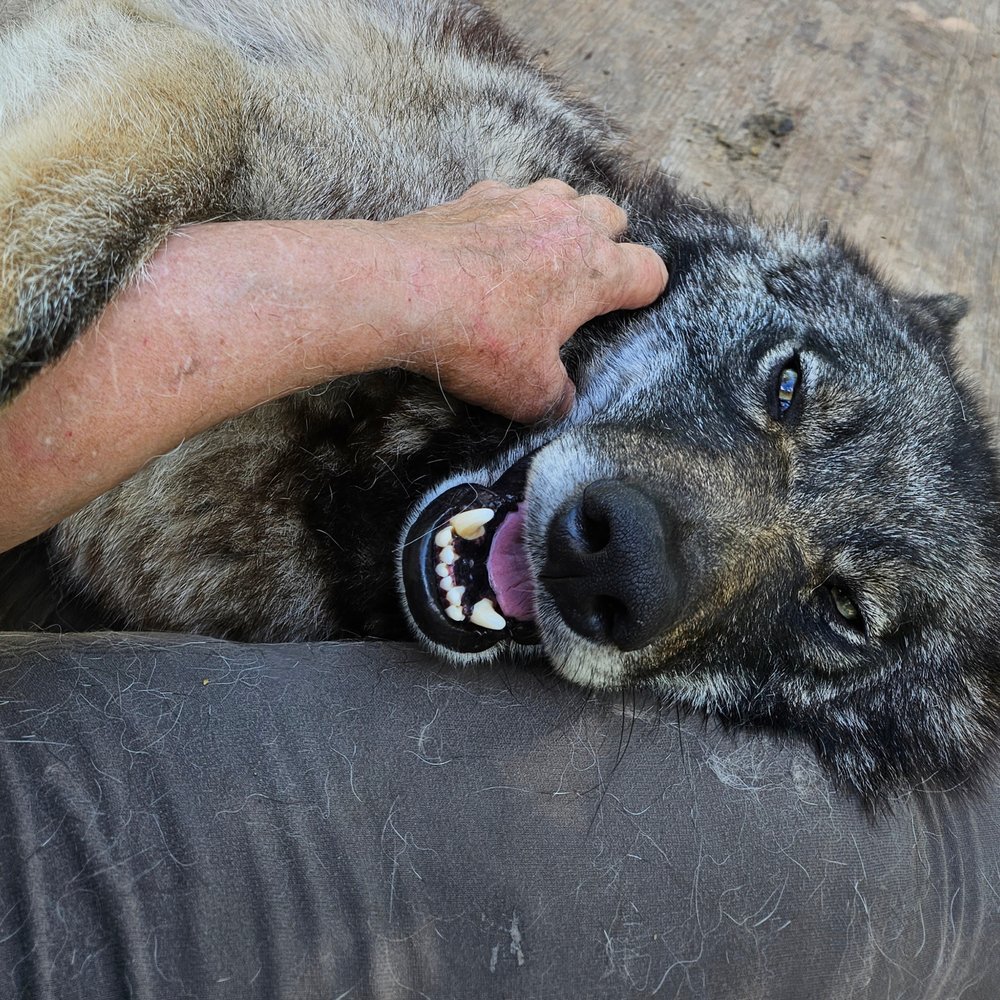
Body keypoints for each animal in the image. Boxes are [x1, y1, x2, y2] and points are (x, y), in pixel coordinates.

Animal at [2, 0, 999, 803]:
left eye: (844, 613)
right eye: (788, 386)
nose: (613, 561)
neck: (368, 450)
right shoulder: (198, 69)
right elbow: (132, 184)